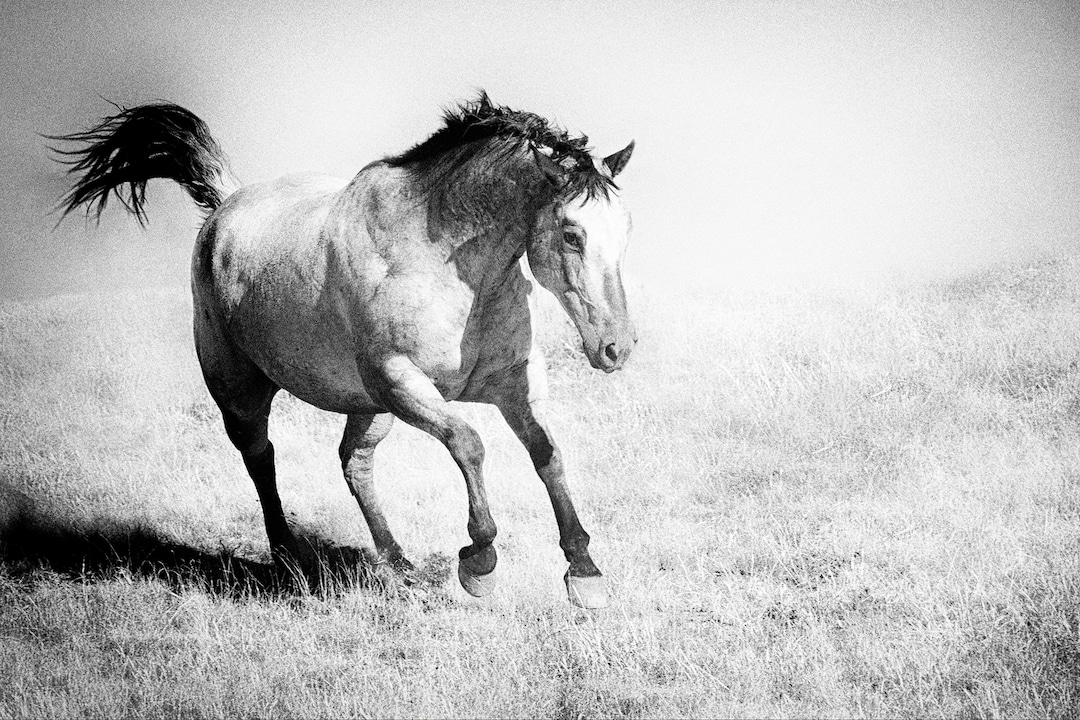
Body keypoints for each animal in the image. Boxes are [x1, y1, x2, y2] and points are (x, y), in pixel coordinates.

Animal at [50, 93, 636, 608]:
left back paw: (399, 566)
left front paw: (584, 573)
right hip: (242, 392)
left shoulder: (513, 382)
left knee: (354, 464)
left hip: (366, 408)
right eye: (571, 234)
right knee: (260, 458)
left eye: (625, 228)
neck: (445, 265)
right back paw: (289, 558)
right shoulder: (401, 384)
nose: (617, 347)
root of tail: (224, 207)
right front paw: (479, 561)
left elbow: (548, 454)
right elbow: (468, 443)